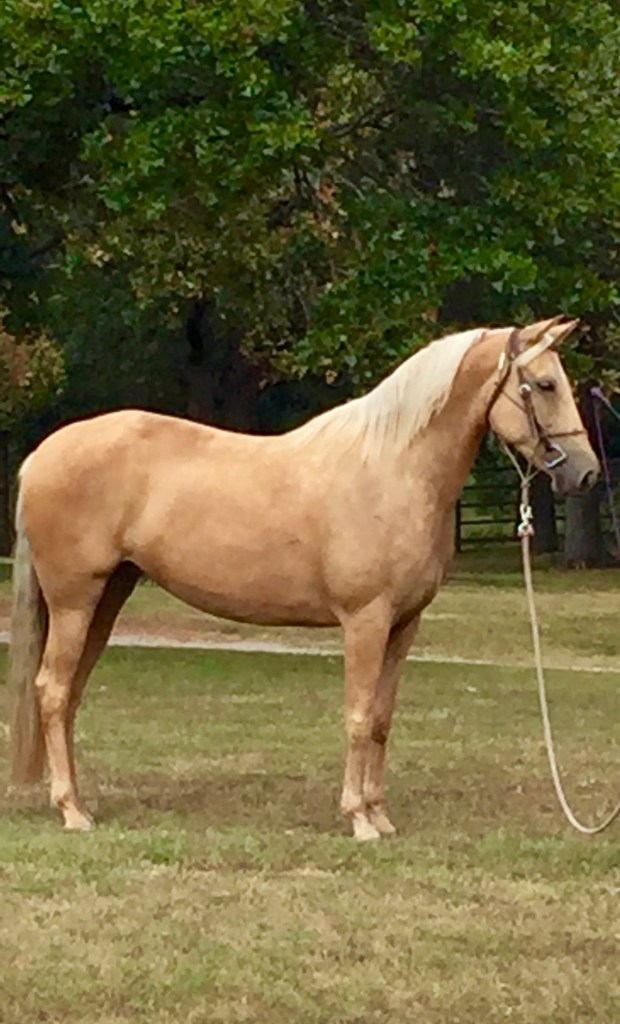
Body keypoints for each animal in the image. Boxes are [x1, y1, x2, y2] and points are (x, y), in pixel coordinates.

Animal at [8, 316, 599, 840]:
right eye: (545, 384)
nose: (588, 473)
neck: (393, 469)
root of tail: (39, 456)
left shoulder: (403, 625)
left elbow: (381, 719)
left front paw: (380, 814)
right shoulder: (365, 621)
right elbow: (358, 715)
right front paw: (359, 819)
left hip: (107, 597)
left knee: (69, 694)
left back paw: (77, 800)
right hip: (75, 600)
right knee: (53, 691)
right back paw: (72, 810)